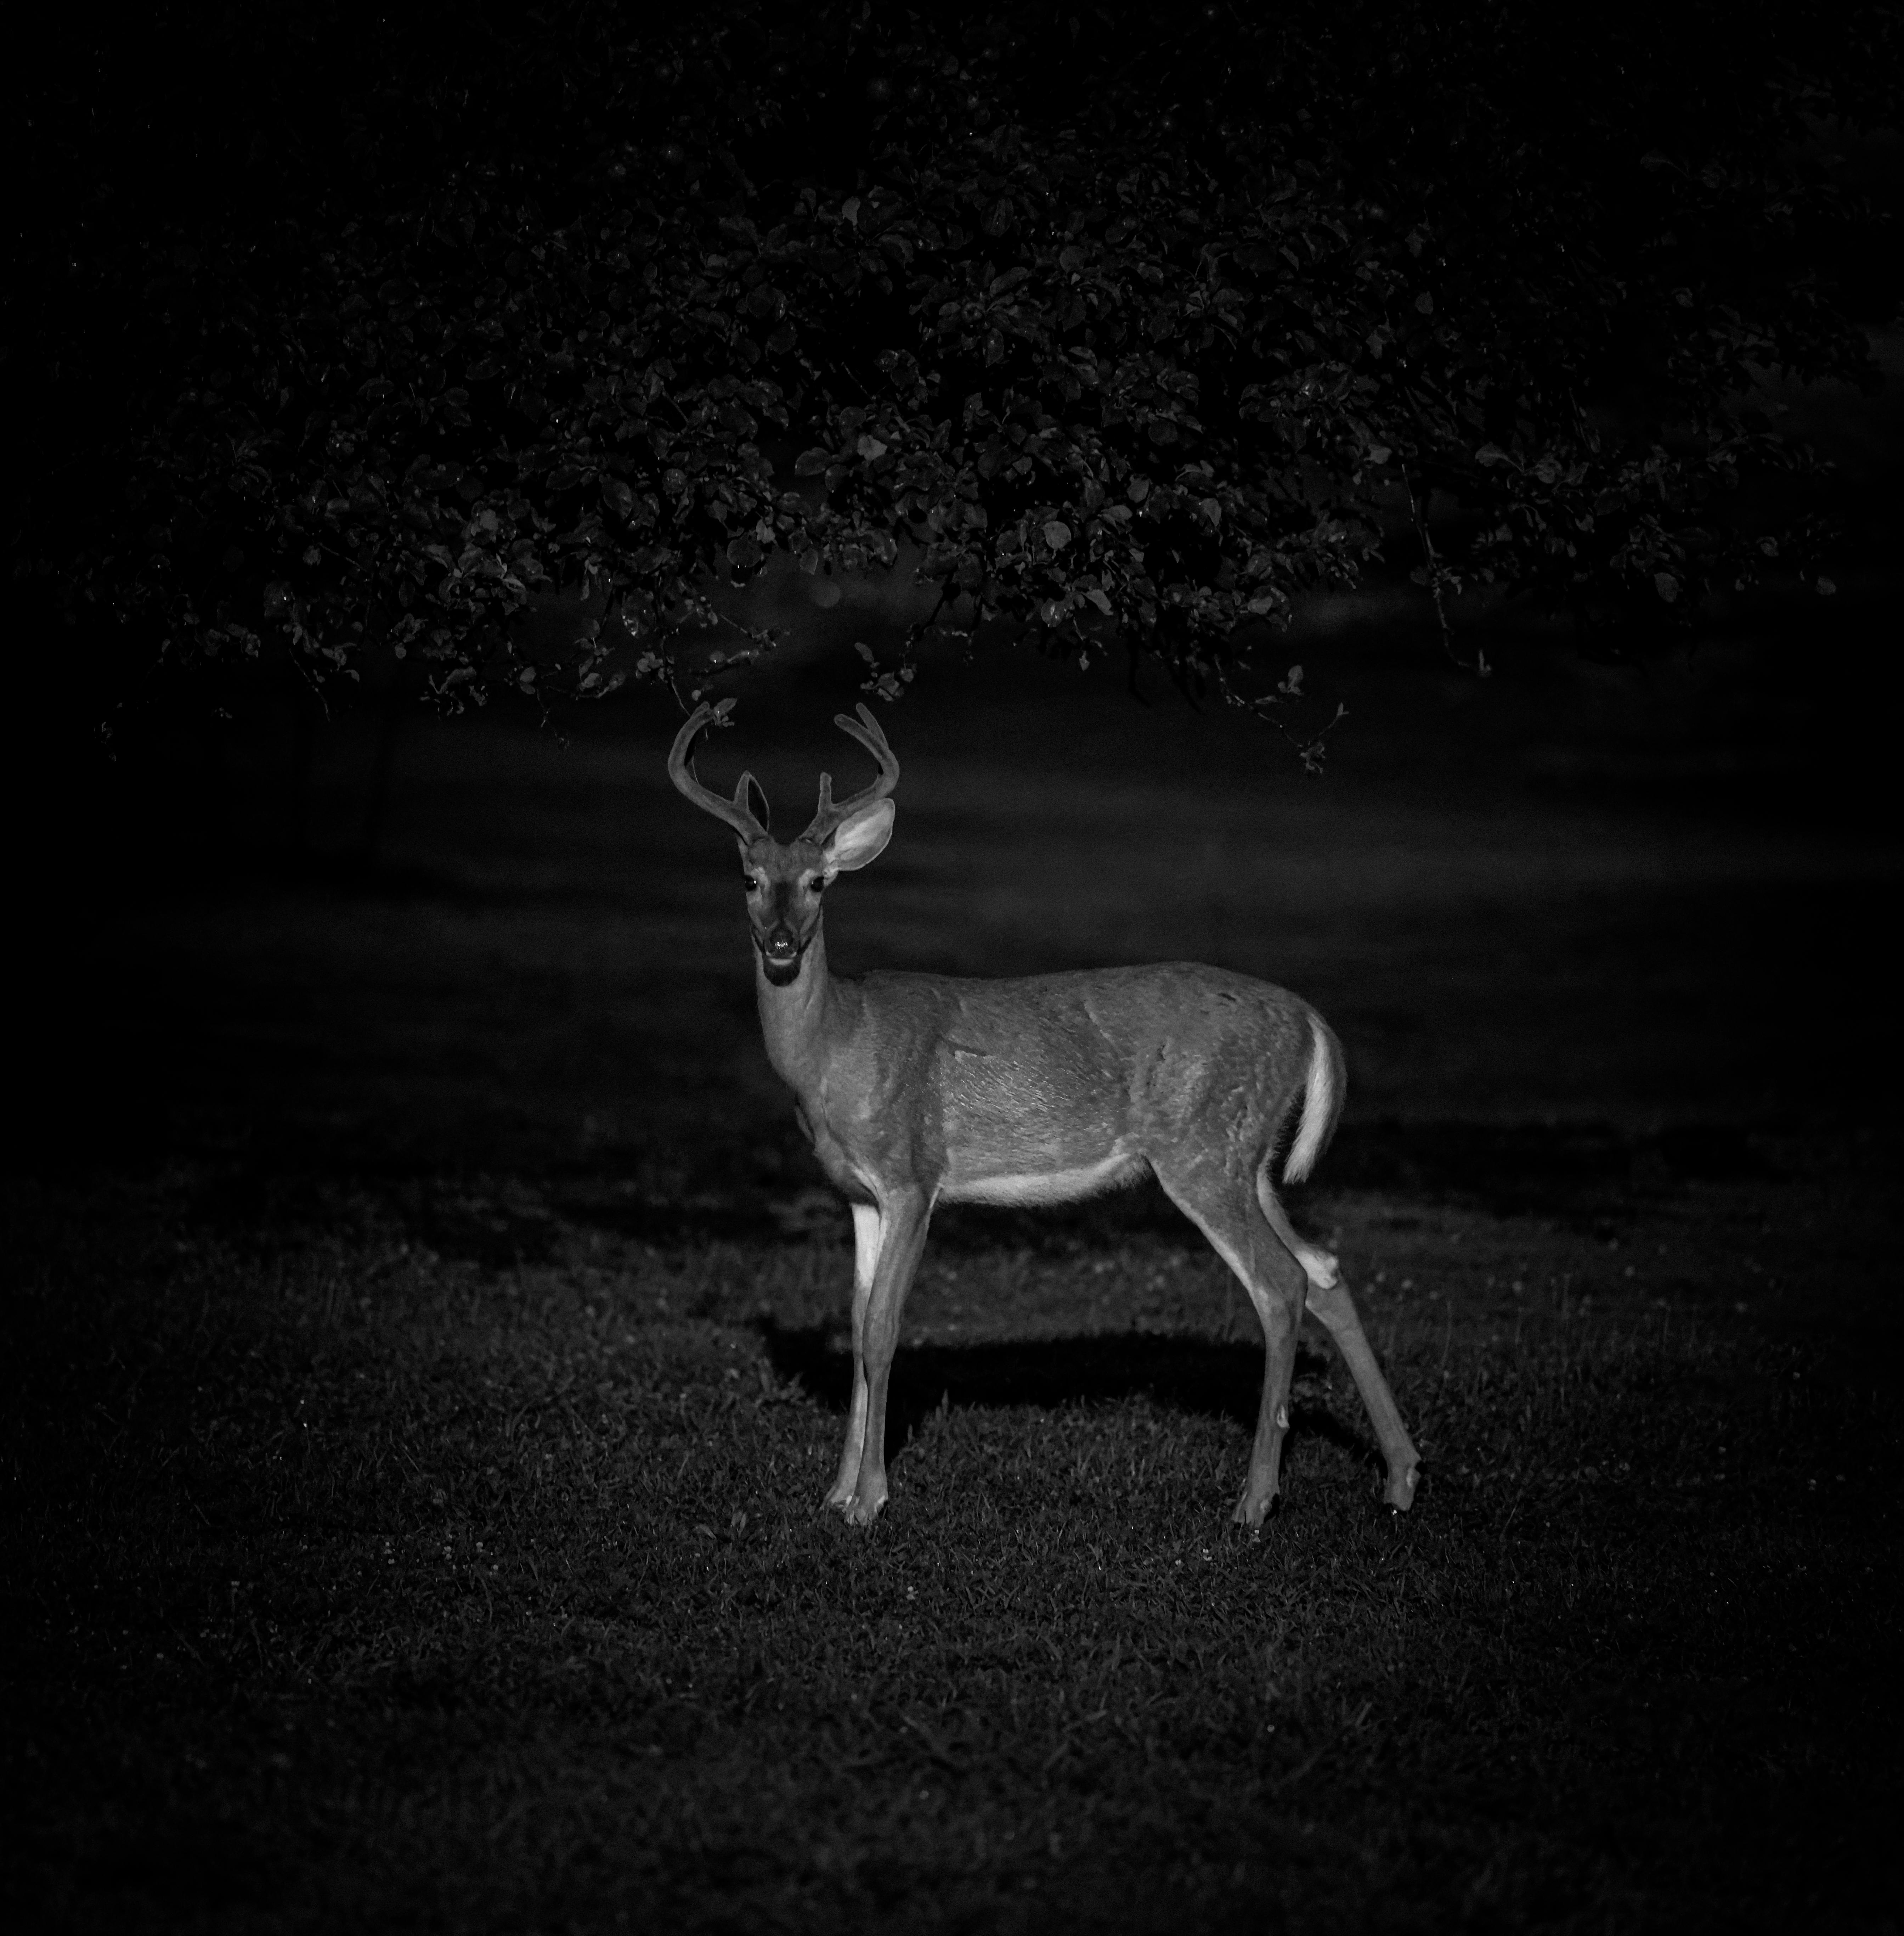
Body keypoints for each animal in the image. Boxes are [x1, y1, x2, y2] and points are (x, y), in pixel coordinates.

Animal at [668, 698, 1420, 1529]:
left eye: (818, 883)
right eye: (748, 879)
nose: (779, 943)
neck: (836, 1043)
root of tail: (1311, 1021)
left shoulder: (913, 1174)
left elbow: (882, 1332)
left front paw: (869, 1499)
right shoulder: (858, 1194)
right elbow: (860, 1325)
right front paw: (833, 1492)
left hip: (1202, 1150)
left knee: (1281, 1285)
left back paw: (1254, 1501)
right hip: (1248, 1155)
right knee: (1323, 1270)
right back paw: (1399, 1478)